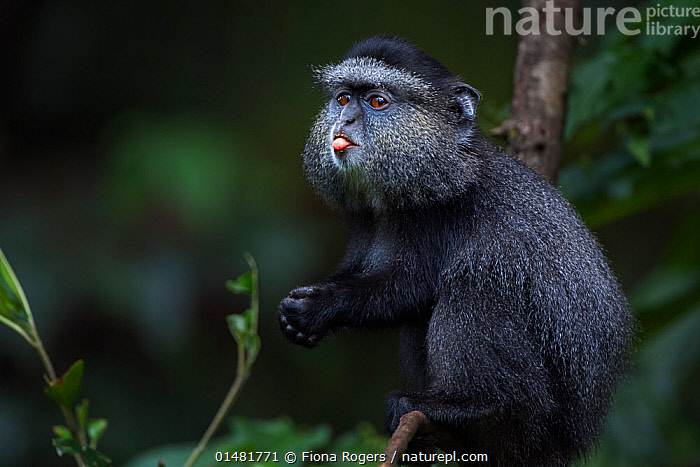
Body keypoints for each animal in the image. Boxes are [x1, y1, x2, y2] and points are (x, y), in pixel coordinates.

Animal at [278, 35, 637, 466]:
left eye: (377, 101)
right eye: (344, 98)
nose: (344, 122)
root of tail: (566, 443)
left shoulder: (440, 214)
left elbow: (409, 286)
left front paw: (319, 308)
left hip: (535, 415)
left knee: (477, 281)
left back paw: (471, 405)